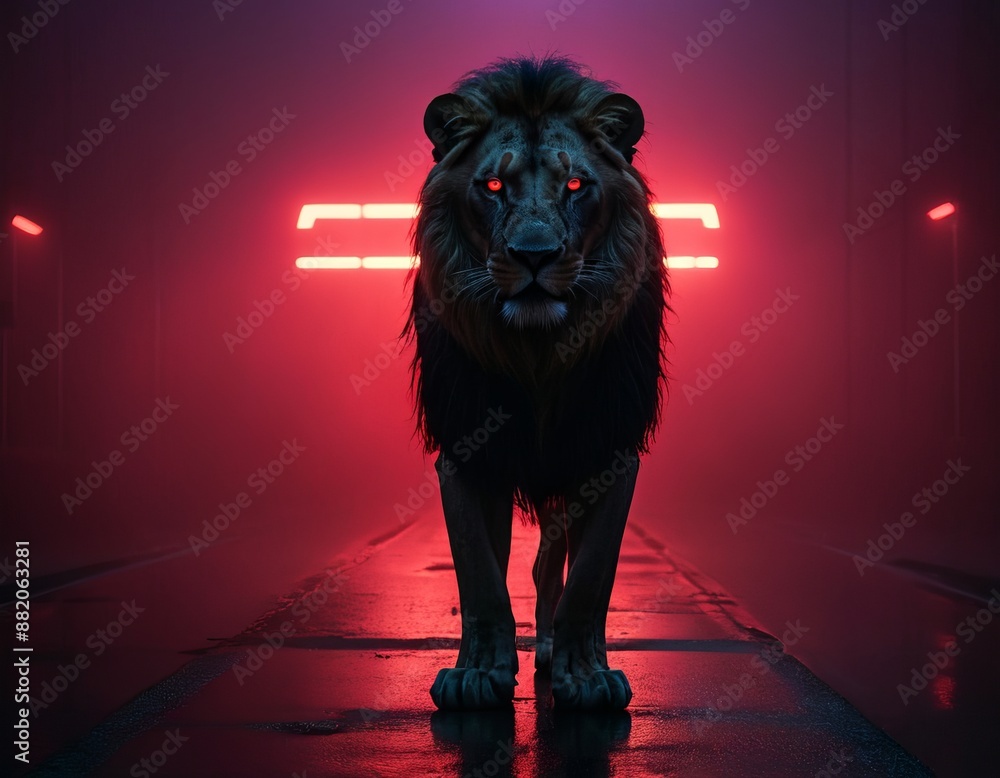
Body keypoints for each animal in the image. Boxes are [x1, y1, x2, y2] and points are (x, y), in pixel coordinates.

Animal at [406, 56, 669, 710]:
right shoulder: (465, 443)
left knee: (551, 564)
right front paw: (475, 675)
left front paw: (590, 678)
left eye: (575, 186)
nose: (534, 255)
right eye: (493, 187)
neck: (538, 354)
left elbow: (590, 579)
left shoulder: (609, 445)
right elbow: (479, 576)